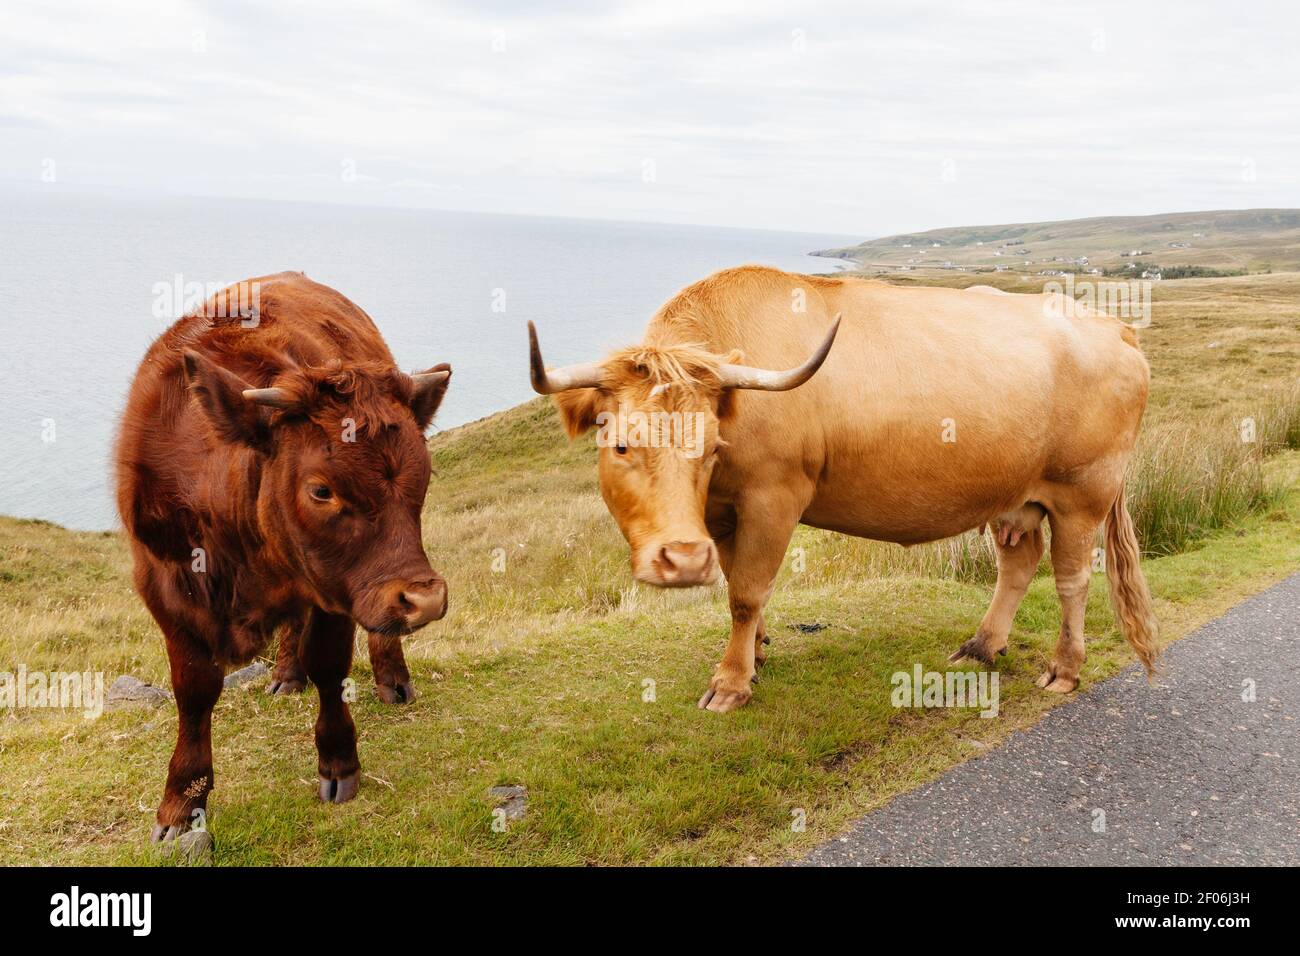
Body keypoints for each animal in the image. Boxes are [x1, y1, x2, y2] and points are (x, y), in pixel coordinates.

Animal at [116, 271, 450, 845]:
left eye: (423, 472)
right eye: (320, 490)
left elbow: (330, 666)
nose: (425, 599)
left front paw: (338, 764)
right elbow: (193, 691)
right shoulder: (161, 586)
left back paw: (392, 678)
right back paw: (287, 673)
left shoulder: (337, 590)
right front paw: (181, 803)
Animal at [529, 266, 1159, 713]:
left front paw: (731, 683)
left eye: (710, 446)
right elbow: (738, 584)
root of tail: (1113, 326)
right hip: (1015, 495)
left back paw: (1064, 669)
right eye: (620, 445)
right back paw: (981, 646)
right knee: (1019, 564)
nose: (682, 561)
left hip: (1082, 494)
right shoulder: (724, 512)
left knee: (1073, 579)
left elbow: (746, 592)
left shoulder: (774, 496)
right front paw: (756, 652)